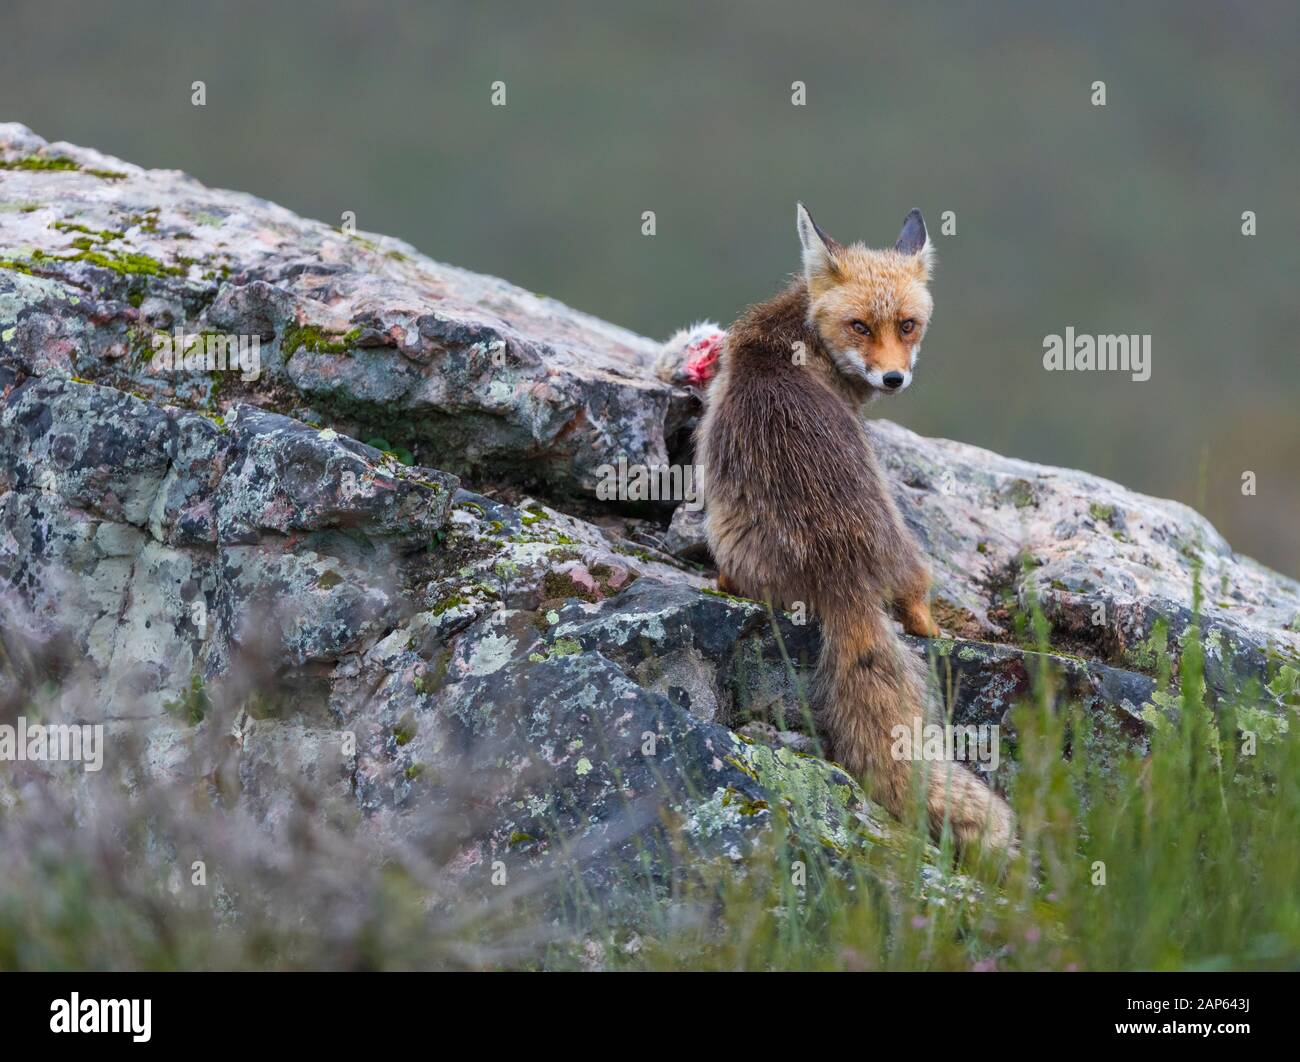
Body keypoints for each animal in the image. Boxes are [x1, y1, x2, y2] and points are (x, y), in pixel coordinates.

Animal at [691, 204, 1015, 855]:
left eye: (908, 326)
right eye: (860, 325)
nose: (893, 379)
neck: (795, 334)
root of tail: (841, 570)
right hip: (904, 546)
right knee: (915, 605)